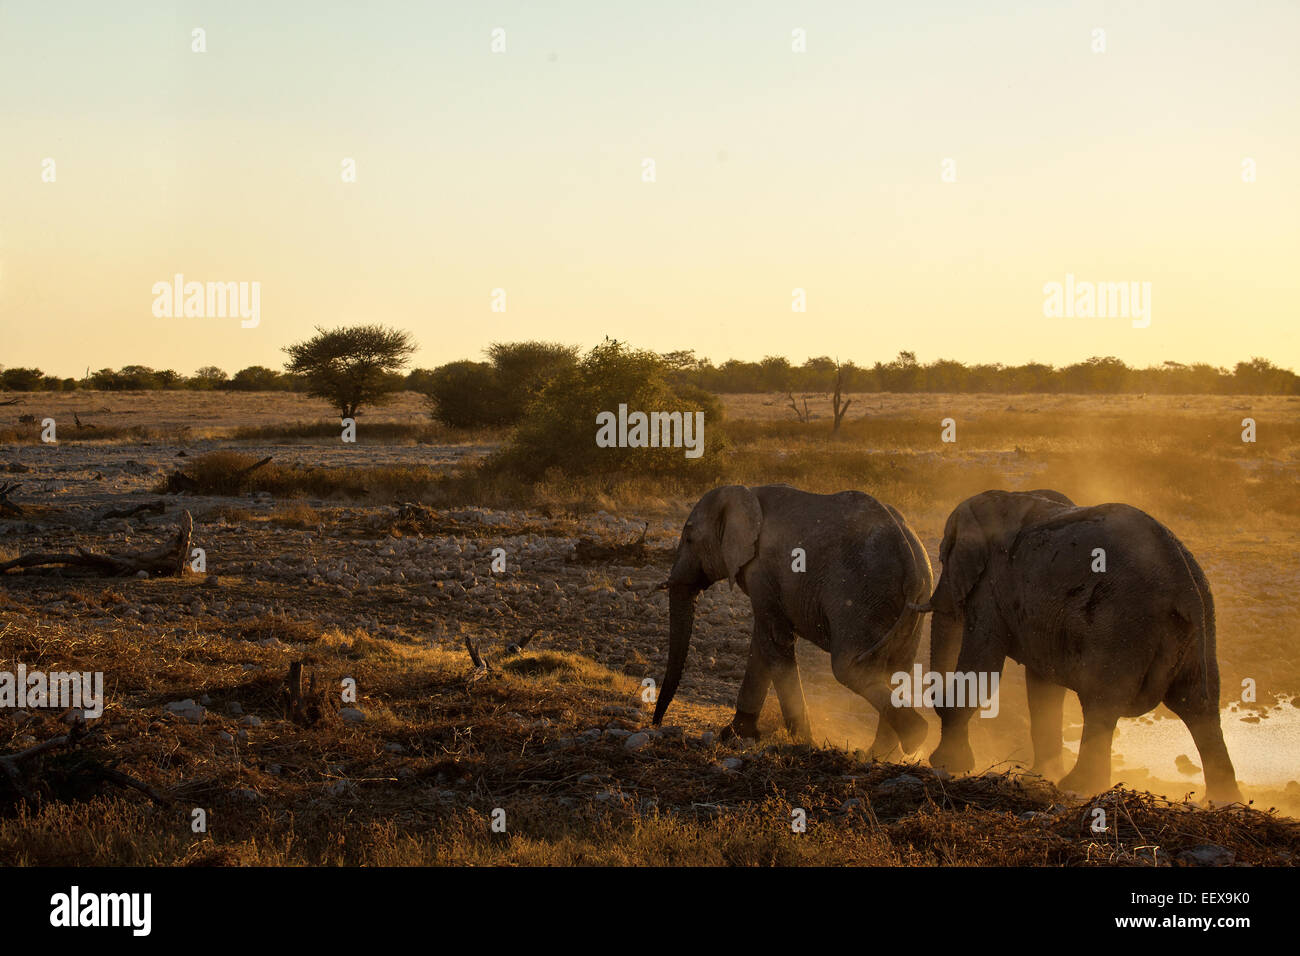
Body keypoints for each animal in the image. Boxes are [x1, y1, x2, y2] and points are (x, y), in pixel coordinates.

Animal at [651, 484, 933, 757]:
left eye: (689, 539)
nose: (656, 723)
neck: (745, 492)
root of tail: (911, 560)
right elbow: (762, 643)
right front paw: (735, 735)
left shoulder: (762, 568)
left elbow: (775, 639)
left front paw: (802, 741)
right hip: (908, 603)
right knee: (896, 669)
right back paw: (882, 754)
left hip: (860, 594)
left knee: (849, 667)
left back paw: (913, 737)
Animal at [920, 488, 1241, 803]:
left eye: (944, 557)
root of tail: (1184, 583)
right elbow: (1044, 689)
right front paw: (1038, 777)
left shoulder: (989, 588)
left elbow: (983, 667)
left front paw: (948, 765)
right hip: (1201, 623)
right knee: (1199, 708)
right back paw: (1224, 801)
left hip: (1121, 625)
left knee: (1101, 704)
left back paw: (1078, 786)